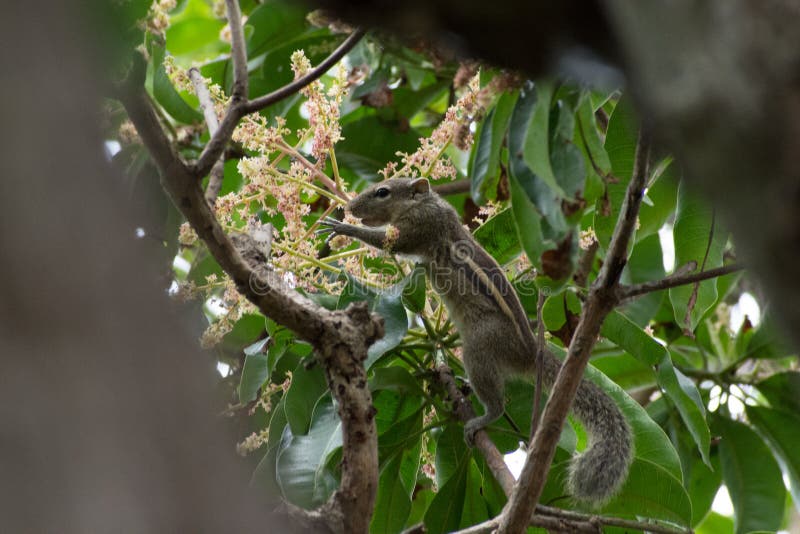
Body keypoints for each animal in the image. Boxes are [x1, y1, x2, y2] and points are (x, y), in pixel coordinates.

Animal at [319, 177, 633, 504]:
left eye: (383, 192)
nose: (350, 207)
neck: (428, 203)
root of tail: (530, 352)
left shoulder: (419, 228)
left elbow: (389, 243)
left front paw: (343, 229)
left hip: (479, 347)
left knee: (499, 403)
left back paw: (481, 418)